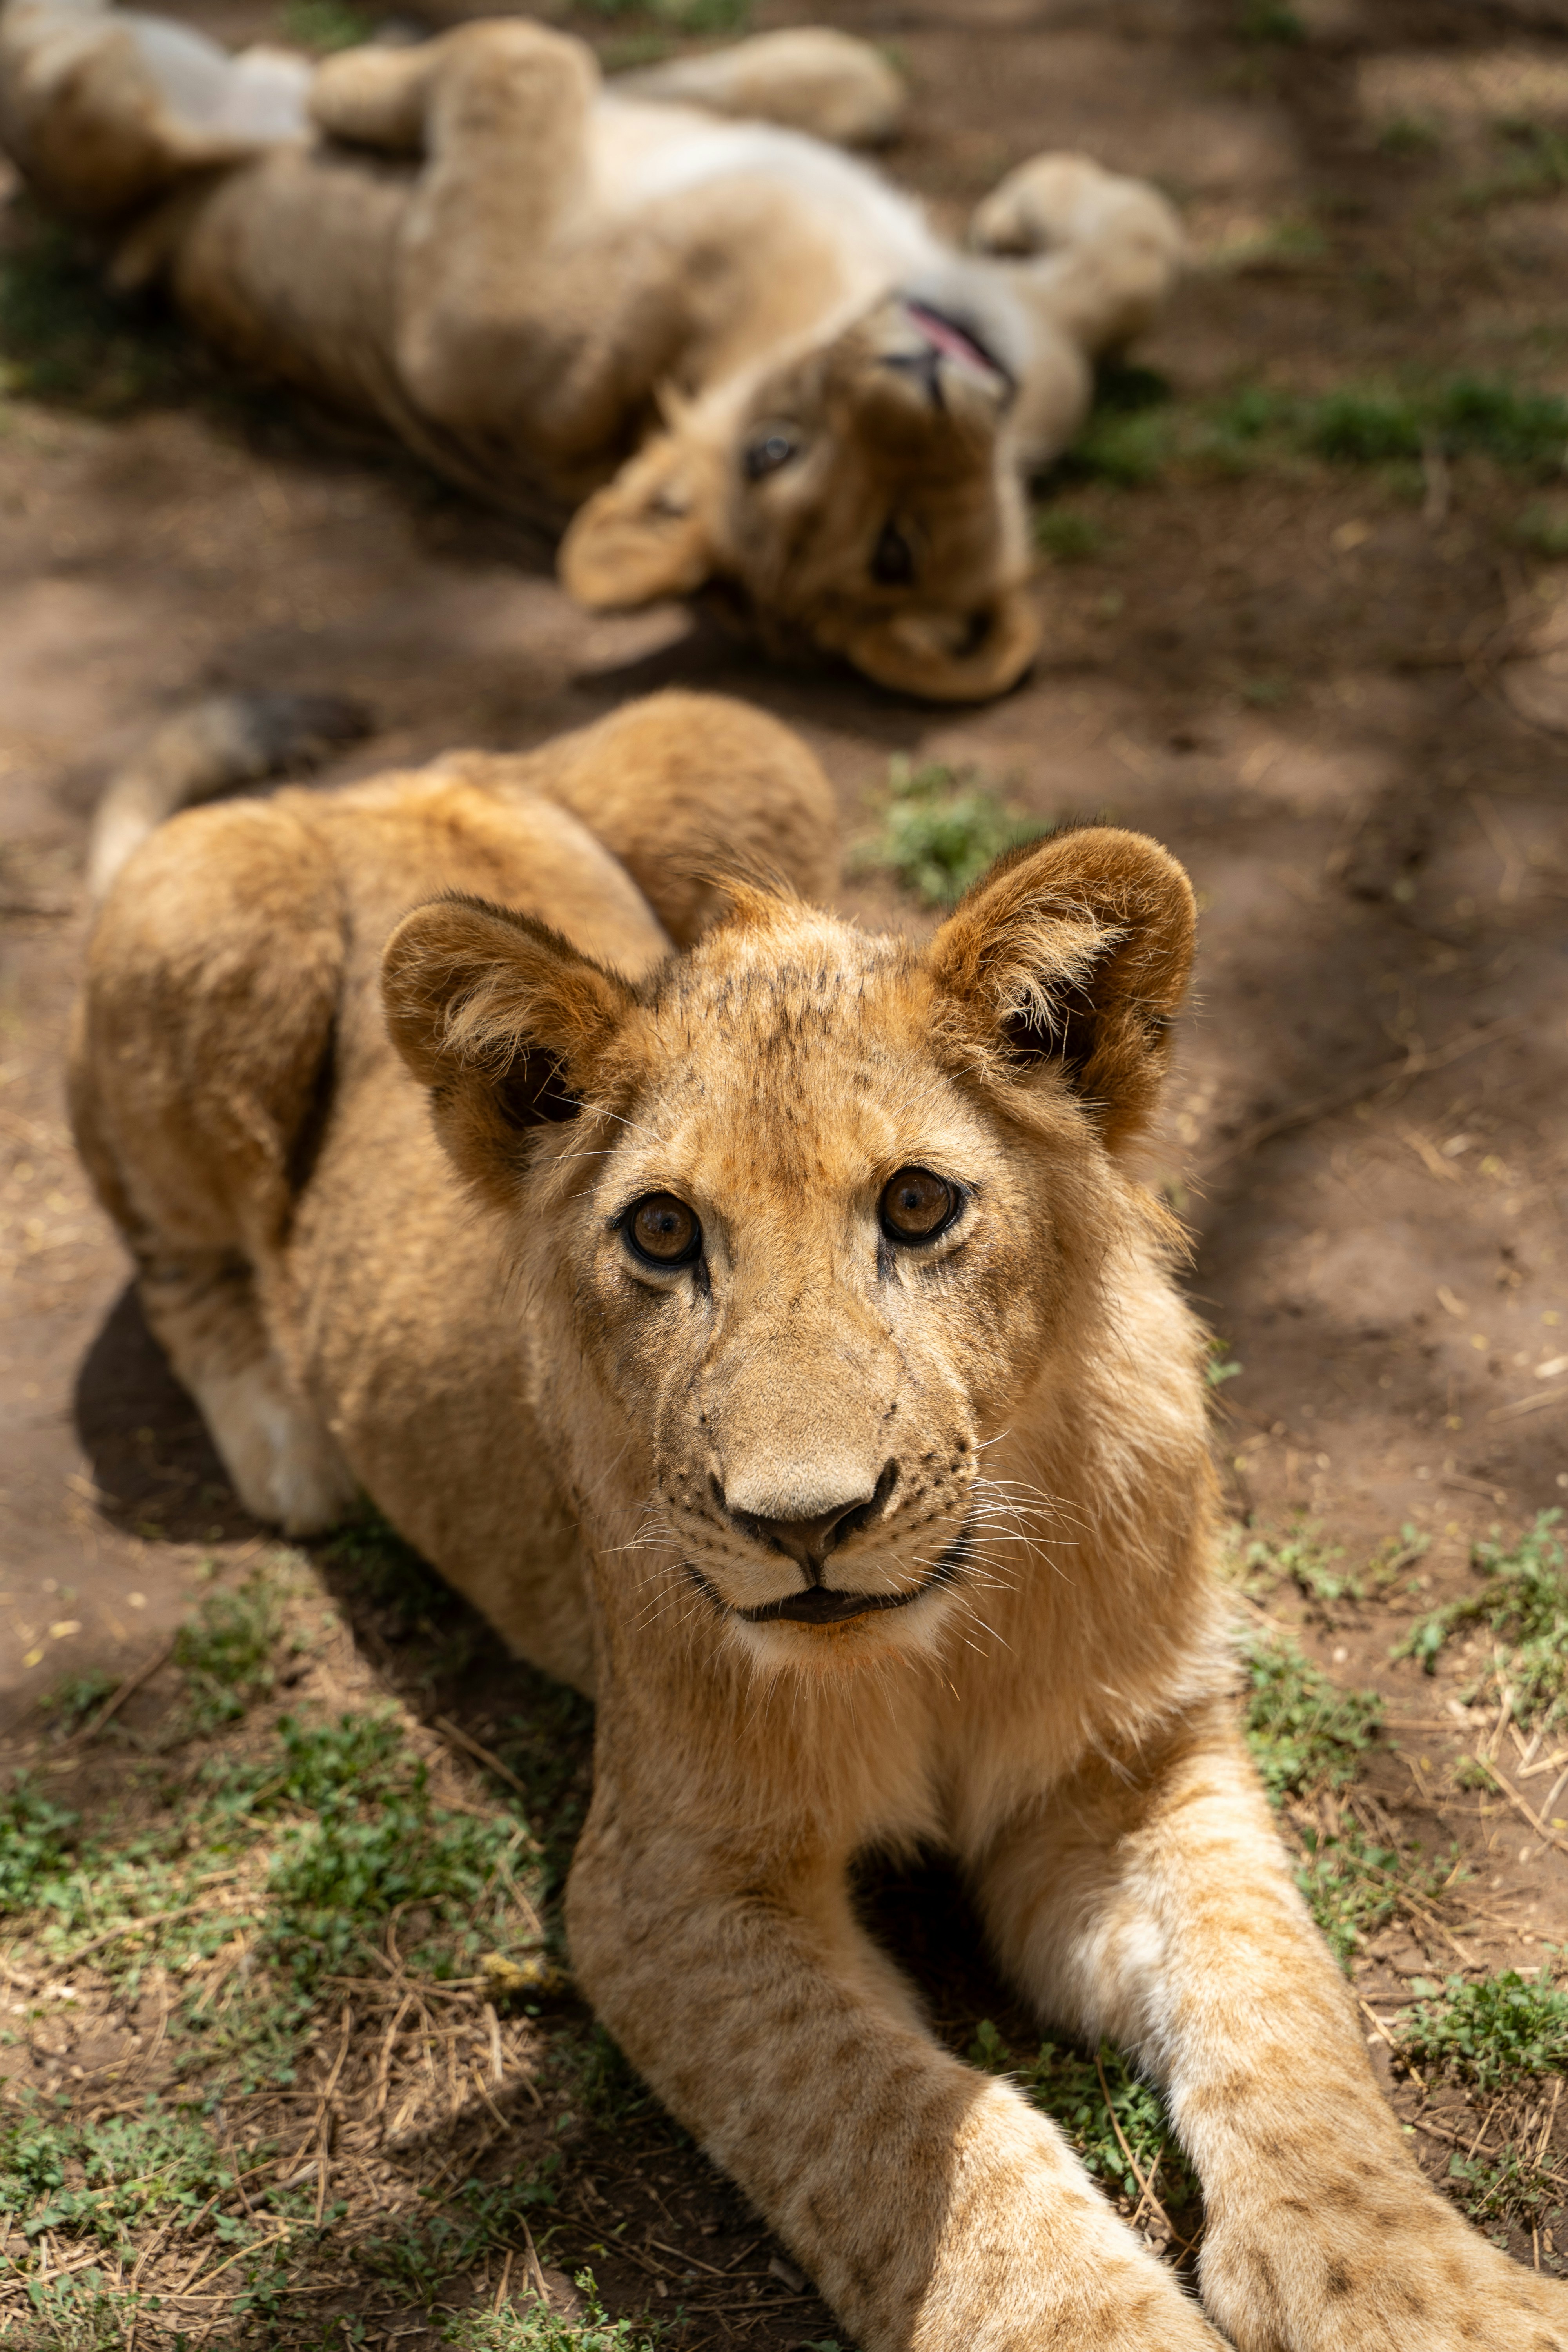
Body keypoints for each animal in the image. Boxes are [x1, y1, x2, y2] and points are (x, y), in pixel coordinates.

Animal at [0, 2, 1184, 700]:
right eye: (773, 452)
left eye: (896, 548)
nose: (922, 377)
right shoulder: (460, 331)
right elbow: (1149, 257)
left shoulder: (464, 325)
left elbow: (522, 62)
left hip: (88, 95)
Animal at [68, 689, 1567, 2351]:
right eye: (662, 1233)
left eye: (917, 1206)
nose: (806, 1523)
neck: (941, 1638)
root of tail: (385, 782)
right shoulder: (659, 1887)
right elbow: (915, 2135)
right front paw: (1096, 2322)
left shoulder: (1125, 1767)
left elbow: (1280, 2003)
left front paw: (1429, 2291)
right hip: (213, 918)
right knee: (166, 1231)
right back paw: (283, 1434)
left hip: (737, 745)